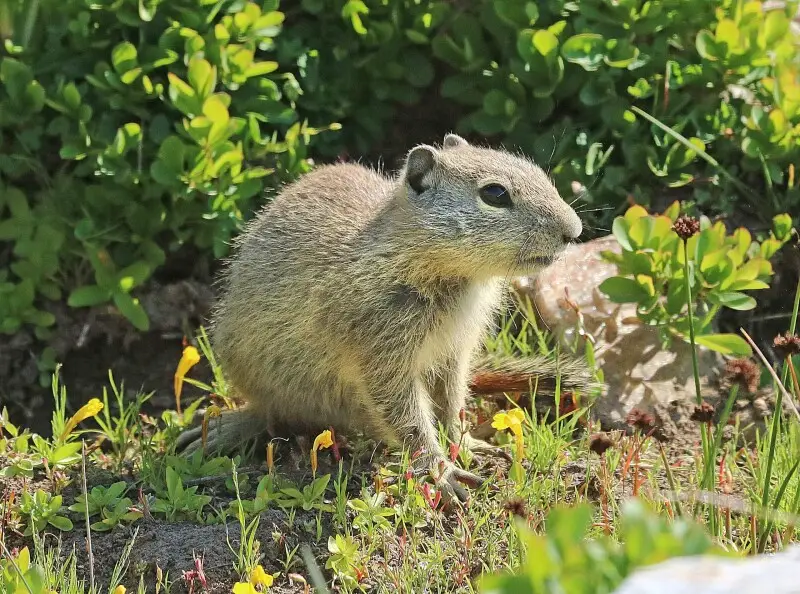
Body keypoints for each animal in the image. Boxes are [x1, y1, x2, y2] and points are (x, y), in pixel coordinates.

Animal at [177, 133, 590, 502]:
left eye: (537, 172)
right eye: (495, 194)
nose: (574, 230)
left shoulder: (455, 351)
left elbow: (452, 400)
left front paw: (468, 442)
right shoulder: (379, 350)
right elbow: (407, 415)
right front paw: (441, 471)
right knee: (270, 412)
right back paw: (226, 428)